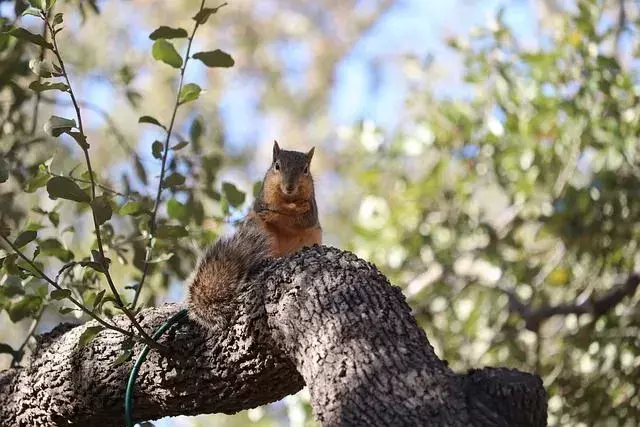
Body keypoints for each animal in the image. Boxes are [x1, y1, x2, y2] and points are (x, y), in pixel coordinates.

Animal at [188, 142, 322, 330]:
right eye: (277, 166)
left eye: (305, 170)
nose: (289, 186)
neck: (288, 198)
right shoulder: (261, 202)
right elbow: (268, 210)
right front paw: (275, 213)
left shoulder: (312, 209)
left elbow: (303, 219)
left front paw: (292, 209)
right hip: (259, 229)